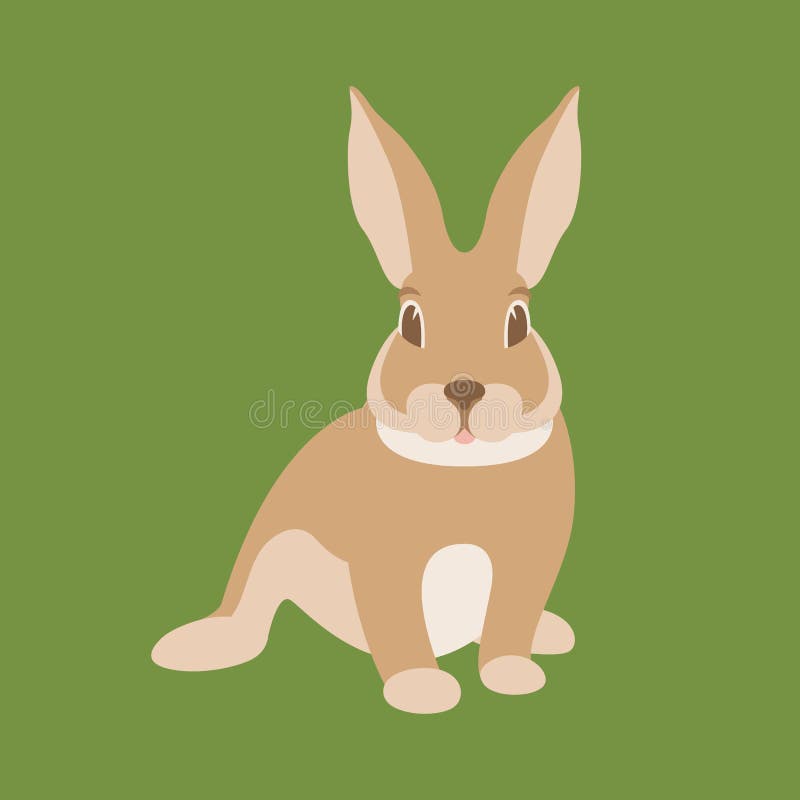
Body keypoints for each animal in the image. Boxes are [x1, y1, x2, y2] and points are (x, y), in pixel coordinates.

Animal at [152, 86, 581, 714]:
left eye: (518, 322)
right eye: (410, 322)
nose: (464, 388)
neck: (466, 464)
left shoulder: (529, 562)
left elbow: (510, 623)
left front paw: (512, 675)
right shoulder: (386, 564)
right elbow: (398, 623)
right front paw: (422, 689)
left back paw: (551, 633)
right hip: (276, 550)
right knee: (250, 611)